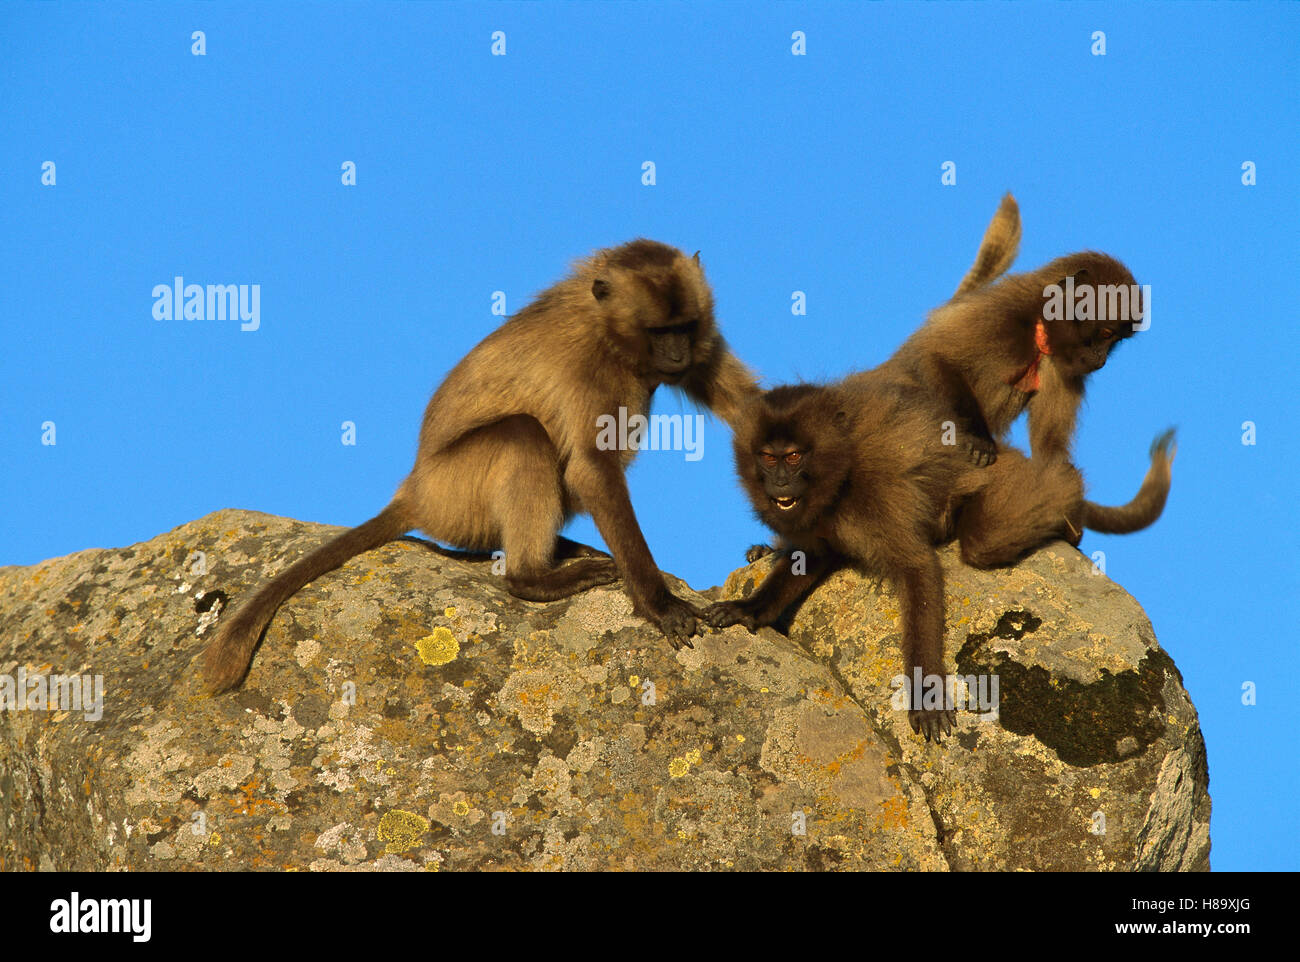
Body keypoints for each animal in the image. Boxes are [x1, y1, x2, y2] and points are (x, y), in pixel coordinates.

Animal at [201, 239, 759, 694]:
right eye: (659, 330)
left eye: (685, 327)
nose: (678, 356)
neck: (608, 331)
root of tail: (413, 490)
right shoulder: (588, 366)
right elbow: (590, 471)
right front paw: (659, 604)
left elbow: (752, 412)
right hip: (454, 490)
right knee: (524, 435)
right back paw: (533, 577)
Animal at [705, 379, 1174, 742]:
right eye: (768, 457)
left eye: (793, 456)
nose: (780, 481)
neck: (838, 475)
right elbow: (812, 555)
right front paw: (750, 607)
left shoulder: (874, 495)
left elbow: (918, 570)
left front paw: (925, 692)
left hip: (1002, 476)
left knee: (986, 539)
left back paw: (1068, 508)